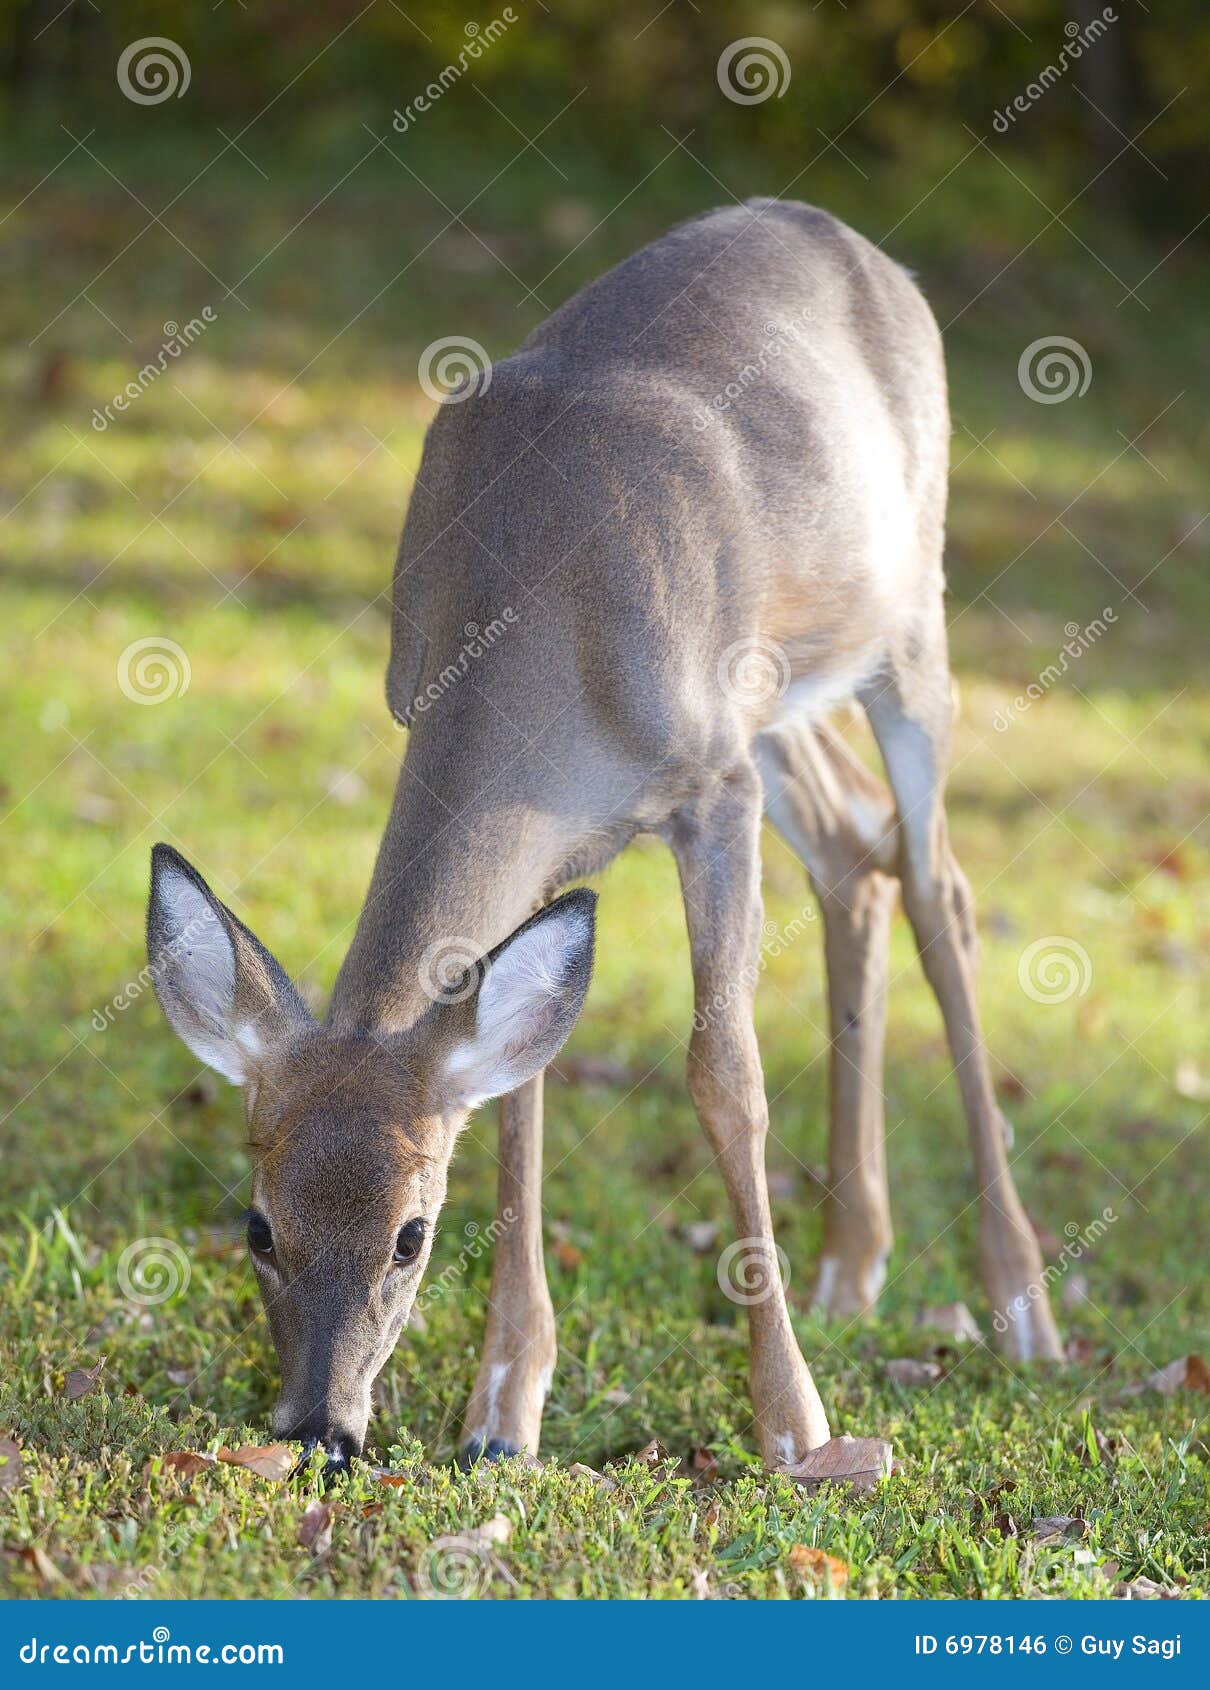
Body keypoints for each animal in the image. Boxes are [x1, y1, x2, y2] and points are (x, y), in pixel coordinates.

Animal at [146, 199, 1062, 1477]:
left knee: (940, 886)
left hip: (906, 624)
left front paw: (794, 1422)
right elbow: (518, 1081)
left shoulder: (711, 789)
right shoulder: (567, 831)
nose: (321, 1427)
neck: (545, 630)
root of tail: (847, 235)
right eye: (258, 1224)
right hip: (781, 701)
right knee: (855, 851)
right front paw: (502, 1407)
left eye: (410, 1236)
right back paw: (852, 1263)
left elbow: (723, 1073)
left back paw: (1021, 1303)